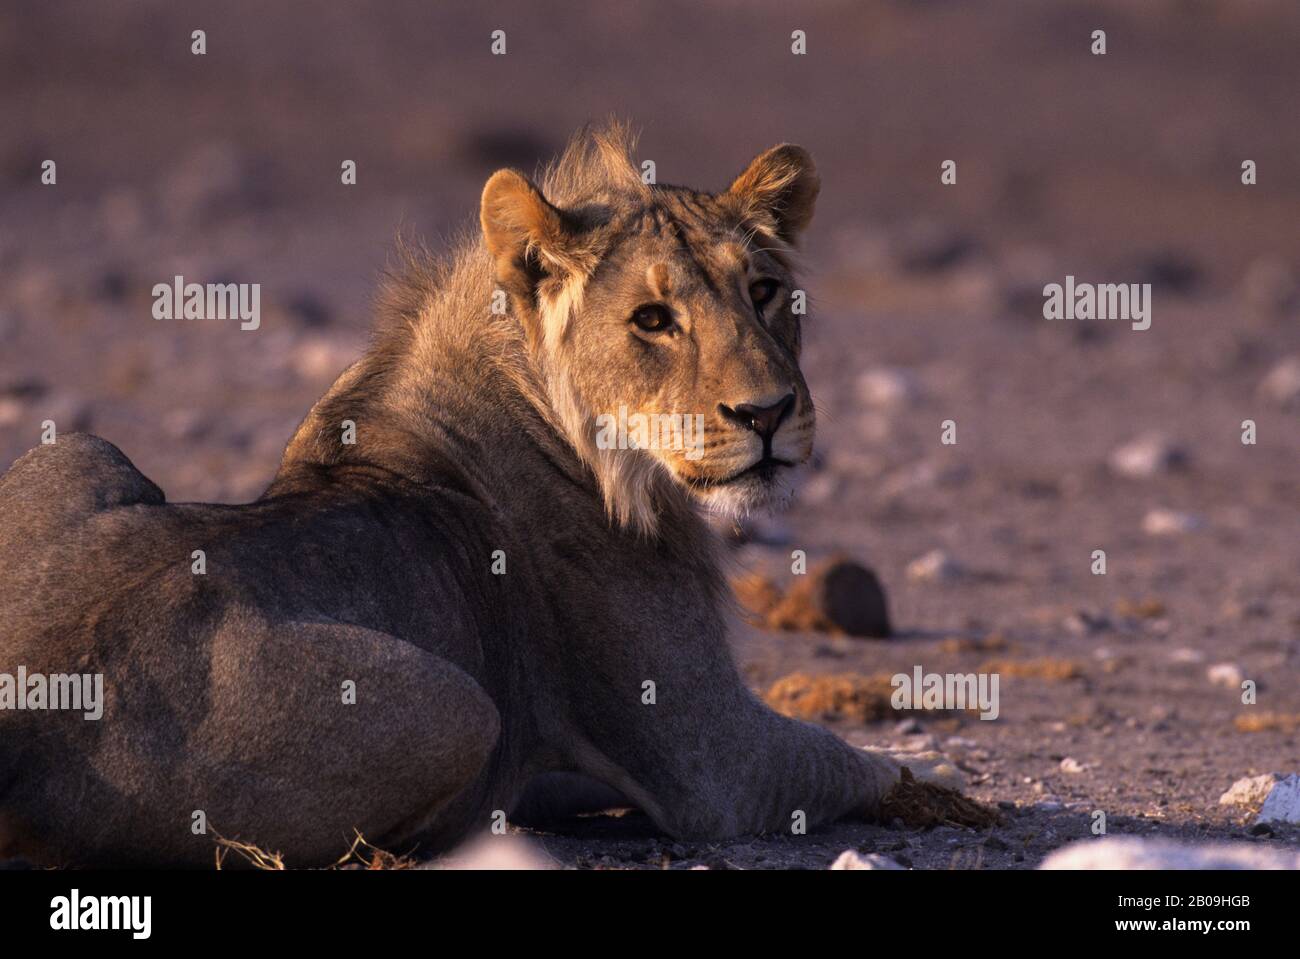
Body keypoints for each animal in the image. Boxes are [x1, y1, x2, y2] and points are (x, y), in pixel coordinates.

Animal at [0, 124, 956, 867]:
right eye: (652, 320)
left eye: (764, 291)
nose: (768, 412)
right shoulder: (712, 754)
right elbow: (855, 758)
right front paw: (945, 791)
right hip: (463, 706)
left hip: (79, 448)